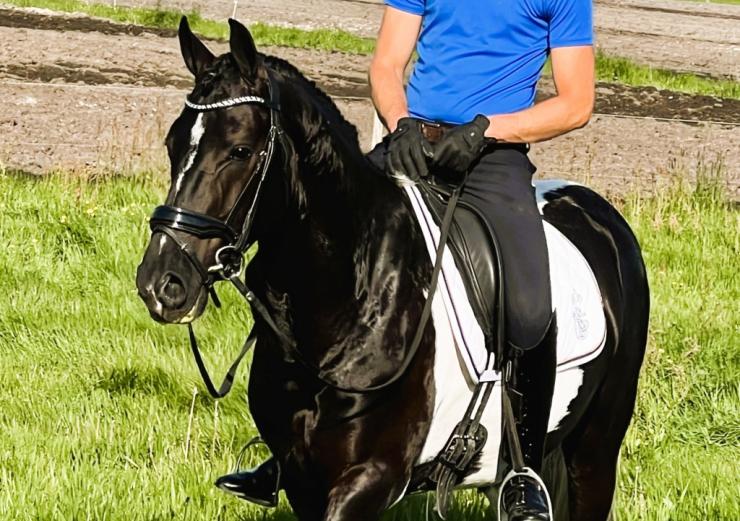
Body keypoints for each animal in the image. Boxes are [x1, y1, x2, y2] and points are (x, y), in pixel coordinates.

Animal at [136, 17, 649, 521]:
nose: (162, 282)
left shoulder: (372, 477)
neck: (352, 295)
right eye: (172, 144)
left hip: (594, 452)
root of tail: (599, 213)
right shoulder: (303, 479)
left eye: (240, 150)